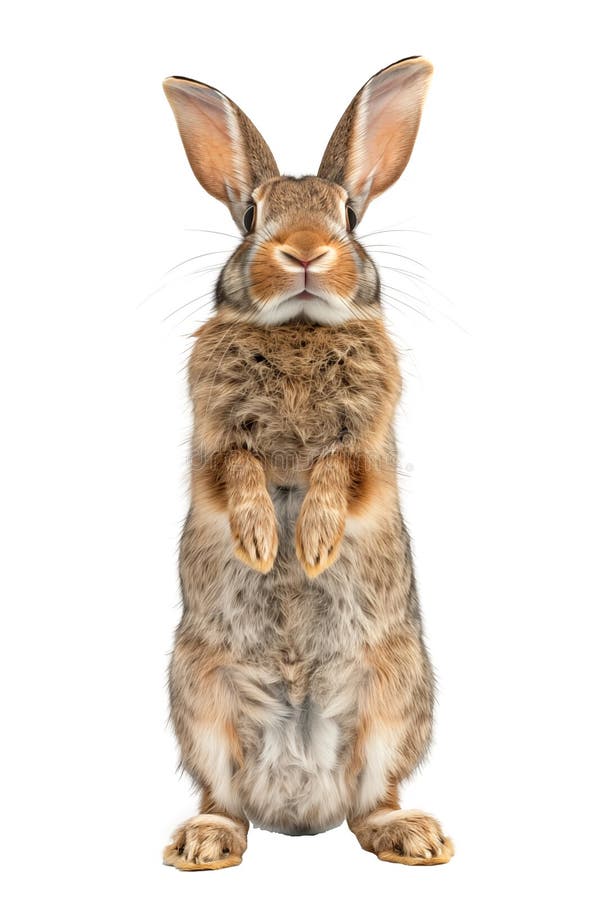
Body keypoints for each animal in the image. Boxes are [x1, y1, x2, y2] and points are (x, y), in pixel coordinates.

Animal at [161, 57, 454, 870]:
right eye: (251, 216)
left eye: (348, 215)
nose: (303, 252)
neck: (296, 327)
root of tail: (298, 809)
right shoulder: (212, 444)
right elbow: (240, 469)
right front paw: (264, 541)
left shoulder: (369, 448)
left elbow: (334, 471)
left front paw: (314, 542)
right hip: (198, 698)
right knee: (223, 795)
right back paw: (205, 843)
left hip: (397, 698)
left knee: (371, 798)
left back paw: (411, 837)